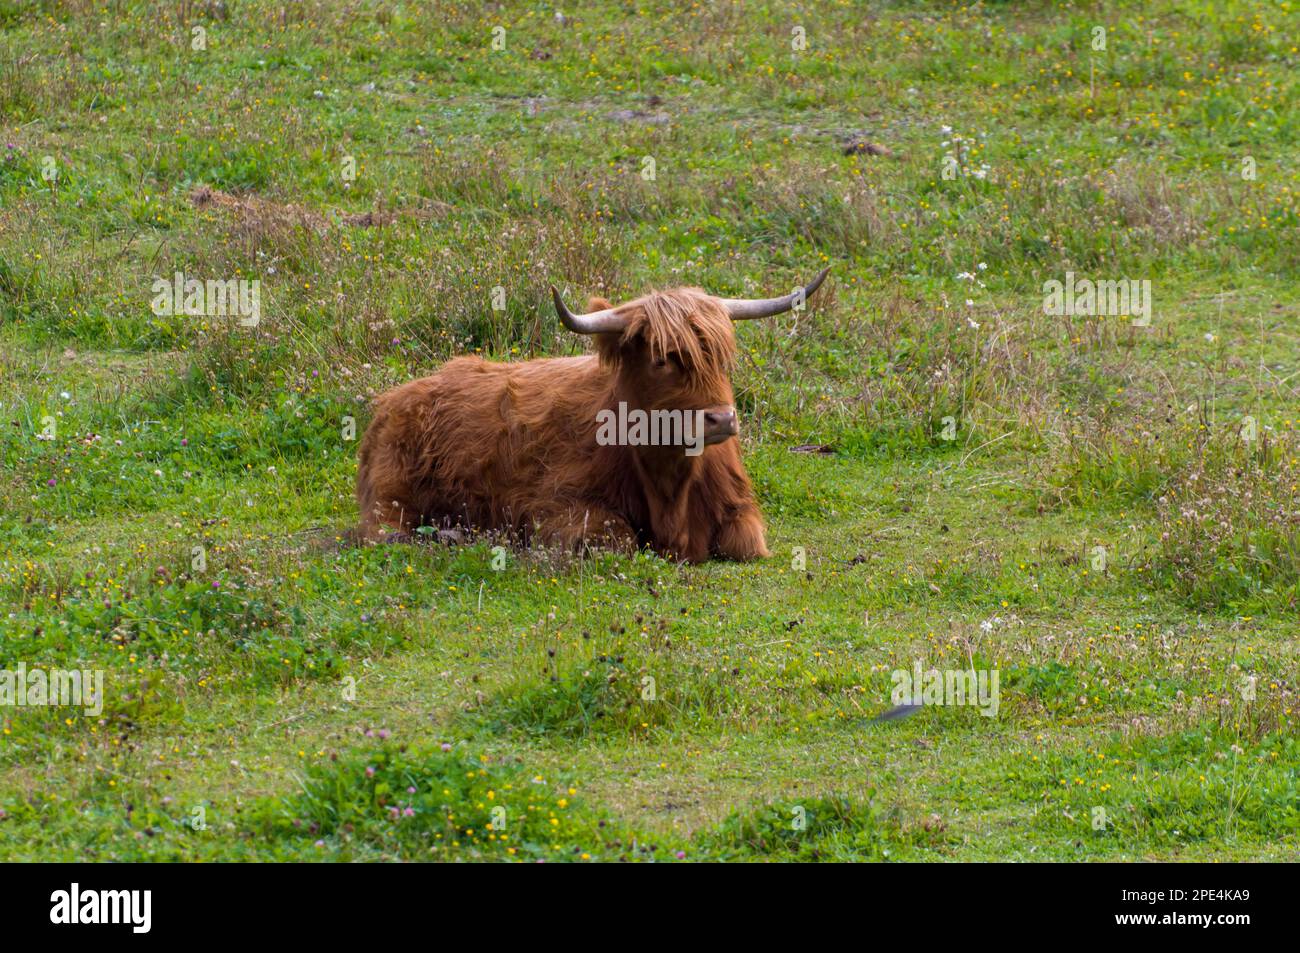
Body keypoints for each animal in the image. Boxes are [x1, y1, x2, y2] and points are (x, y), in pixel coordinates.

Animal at [355, 268, 829, 563]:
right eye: (661, 359)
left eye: (722, 359)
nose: (722, 421)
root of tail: (396, 396)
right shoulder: (555, 507)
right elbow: (617, 539)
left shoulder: (738, 510)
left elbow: (742, 543)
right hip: (390, 492)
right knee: (384, 530)